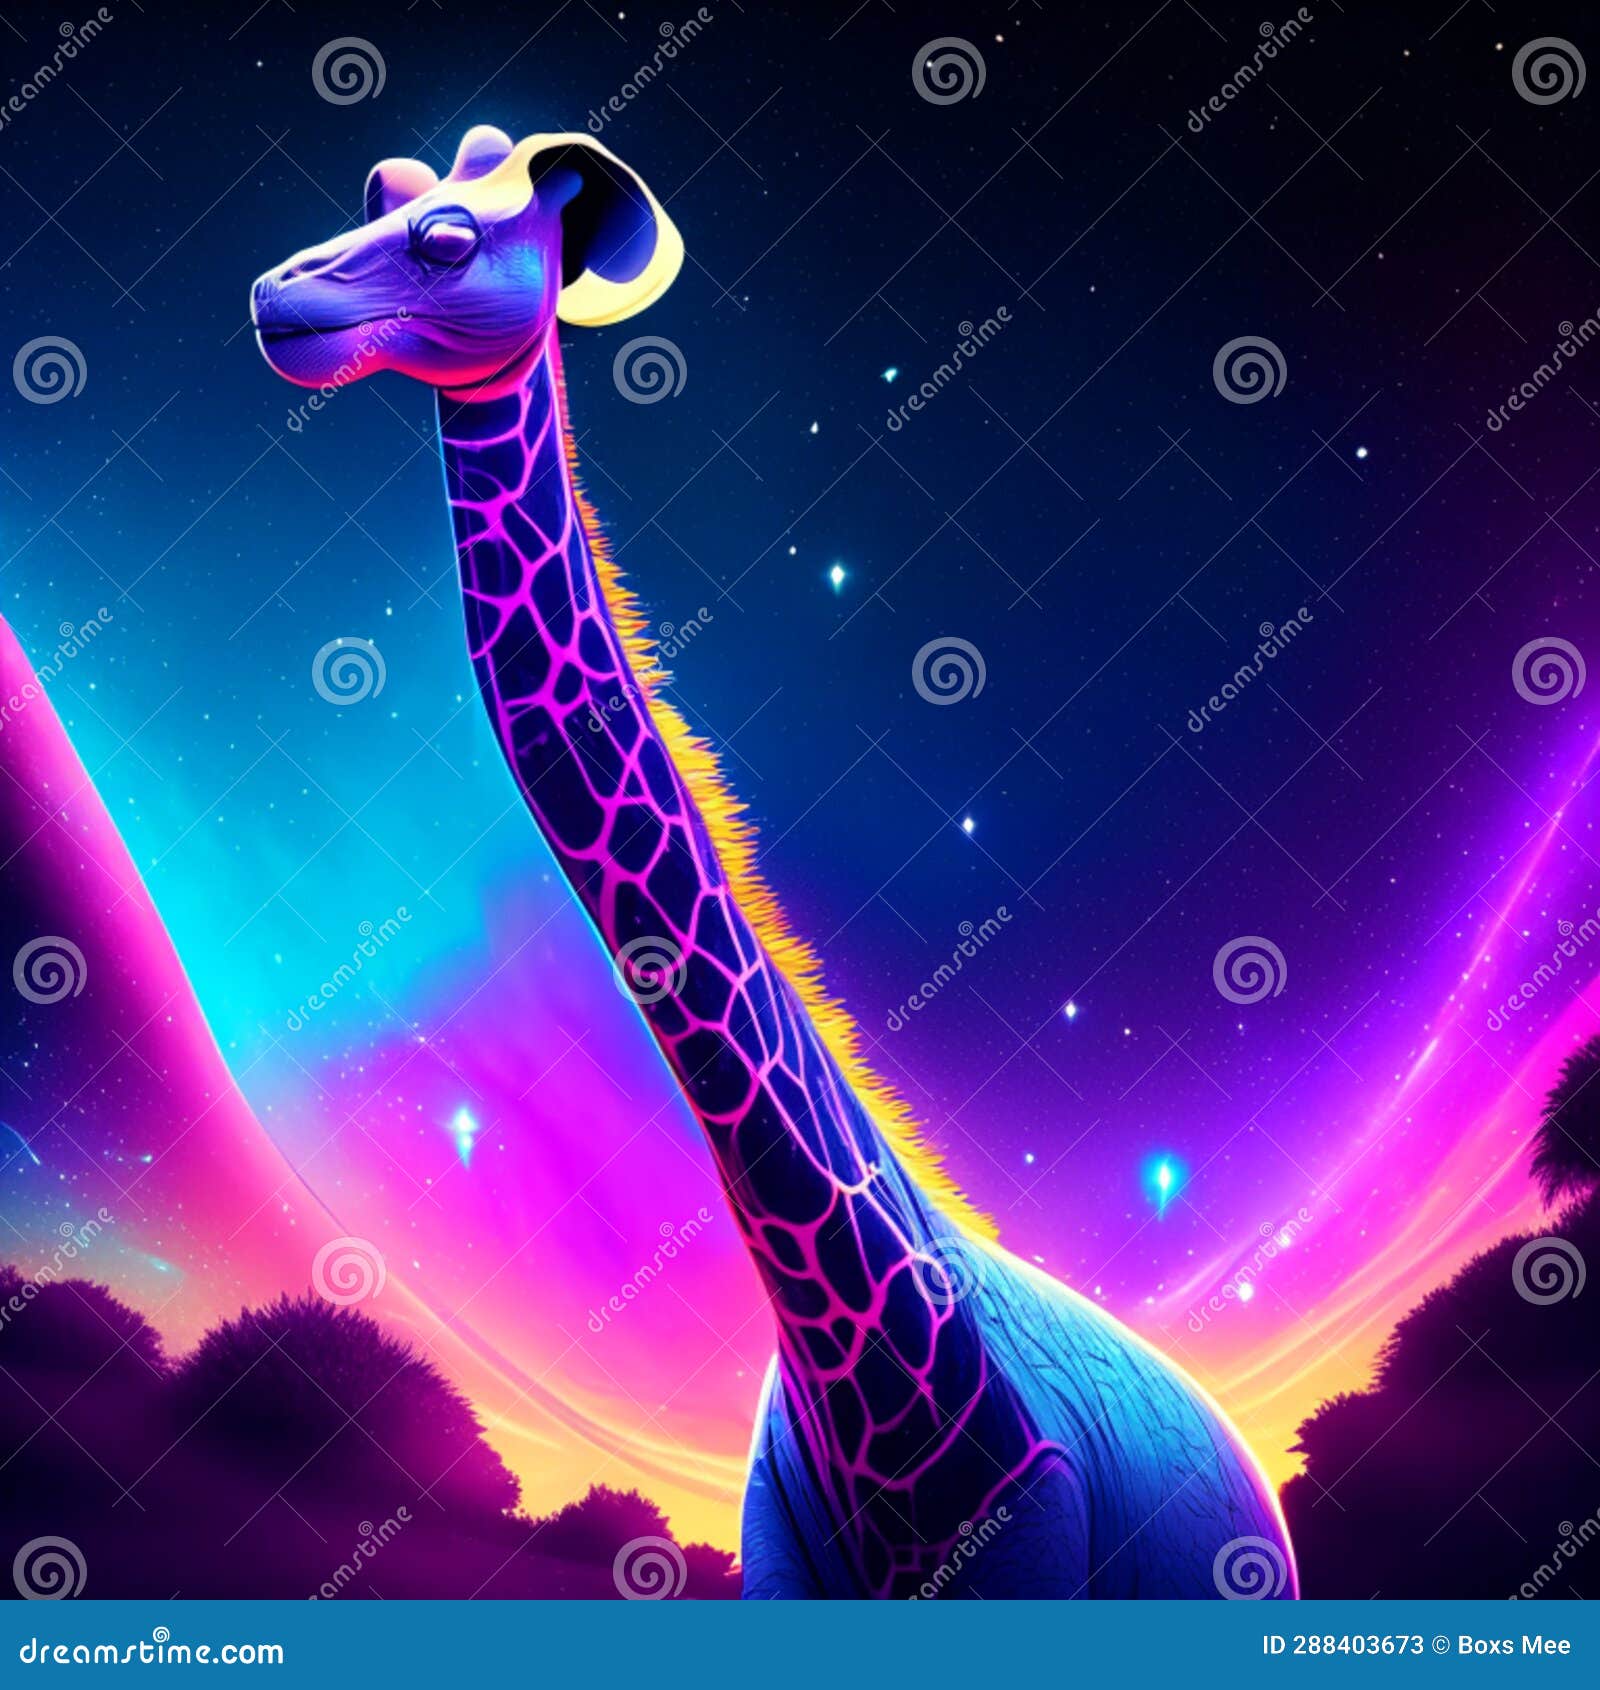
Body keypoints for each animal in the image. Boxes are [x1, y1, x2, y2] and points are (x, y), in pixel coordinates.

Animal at [250, 124, 1297, 1600]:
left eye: (449, 241)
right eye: (382, 191)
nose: (276, 301)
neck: (856, 1384)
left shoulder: (1027, 1537)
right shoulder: (781, 1550)